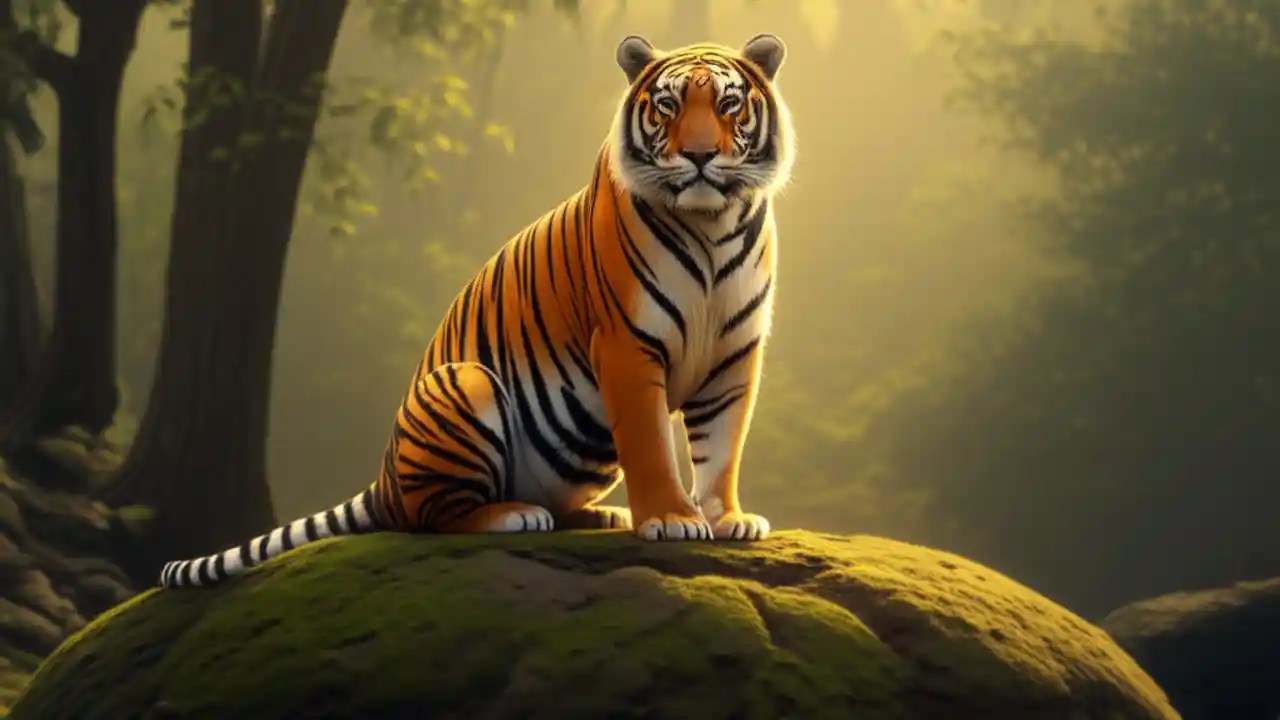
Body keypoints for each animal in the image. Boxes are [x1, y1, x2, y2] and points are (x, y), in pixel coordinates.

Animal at [159, 32, 795, 588]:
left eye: (729, 104)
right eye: (667, 105)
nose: (700, 156)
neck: (711, 226)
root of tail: (384, 477)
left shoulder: (735, 357)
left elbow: (722, 447)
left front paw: (726, 517)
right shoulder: (626, 344)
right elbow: (651, 445)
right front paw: (670, 518)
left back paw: (599, 515)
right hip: (467, 384)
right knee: (434, 516)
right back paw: (512, 515)